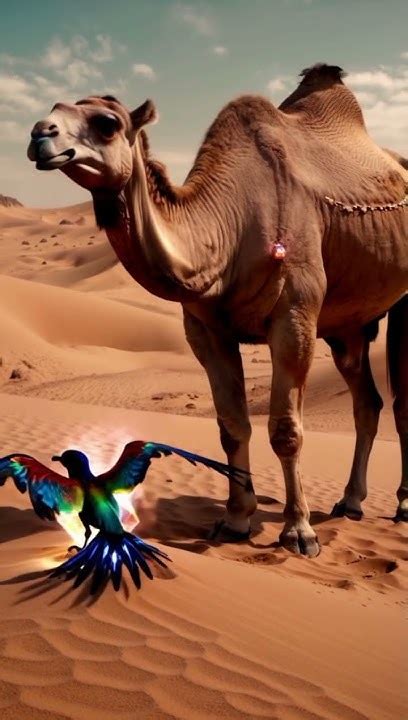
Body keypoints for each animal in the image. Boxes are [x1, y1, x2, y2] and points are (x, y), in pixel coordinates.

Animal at [27, 63, 408, 557]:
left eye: (107, 123)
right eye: (53, 108)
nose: (40, 134)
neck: (230, 225)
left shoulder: (295, 314)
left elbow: (285, 429)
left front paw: (299, 531)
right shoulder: (208, 329)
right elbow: (232, 427)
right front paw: (235, 520)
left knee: (400, 405)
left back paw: (401, 505)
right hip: (349, 326)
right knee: (368, 402)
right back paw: (351, 501)